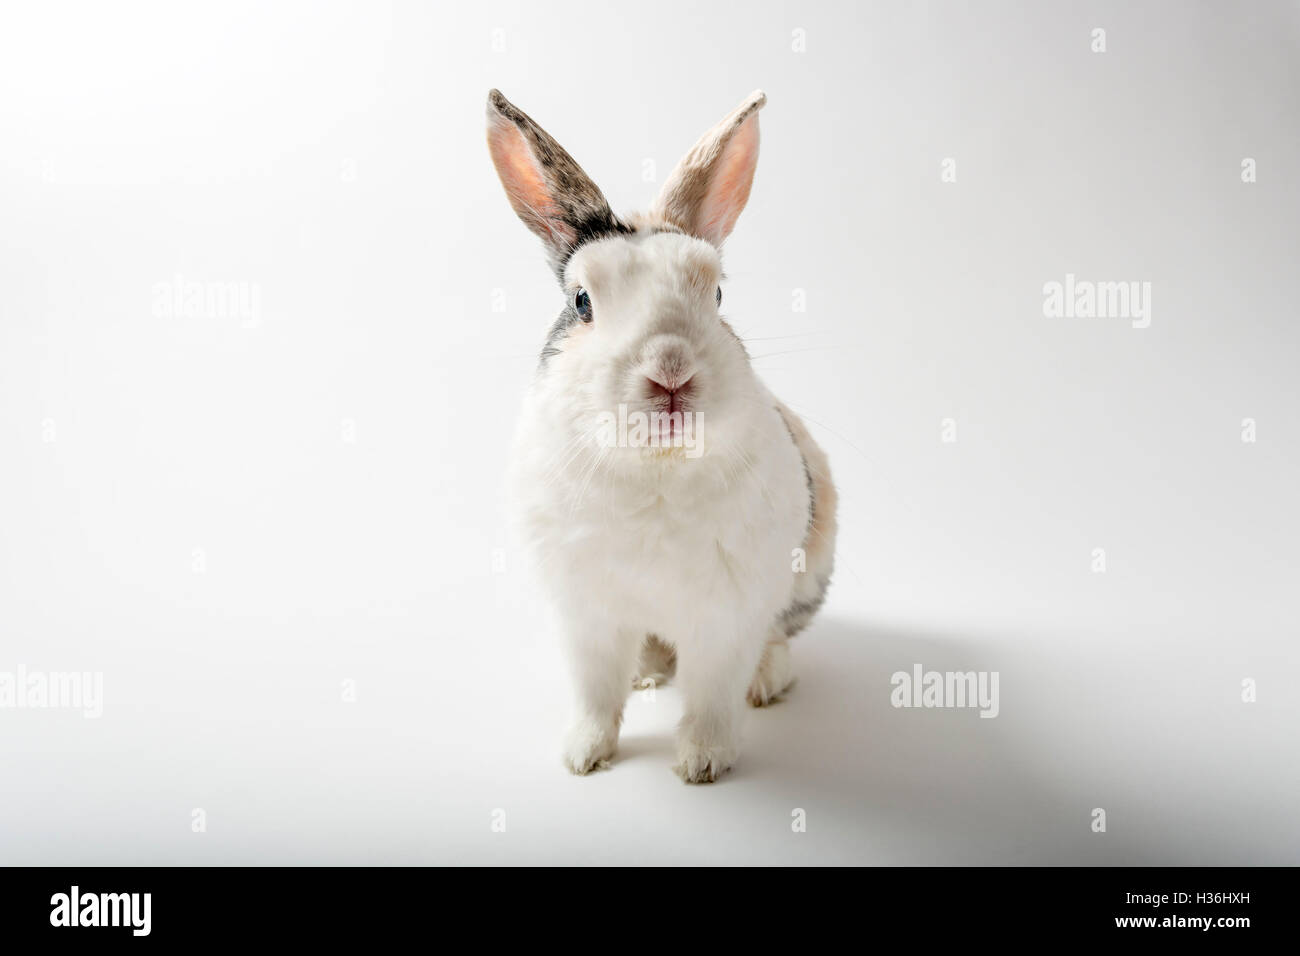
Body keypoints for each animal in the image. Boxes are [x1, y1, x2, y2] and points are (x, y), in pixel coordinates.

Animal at [487, 89, 837, 783]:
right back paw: (648, 675)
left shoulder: (726, 621)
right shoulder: (587, 619)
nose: (671, 371)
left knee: (777, 638)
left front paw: (702, 764)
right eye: (583, 302)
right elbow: (596, 693)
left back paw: (767, 680)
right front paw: (583, 755)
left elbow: (712, 698)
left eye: (719, 295)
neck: (655, 467)